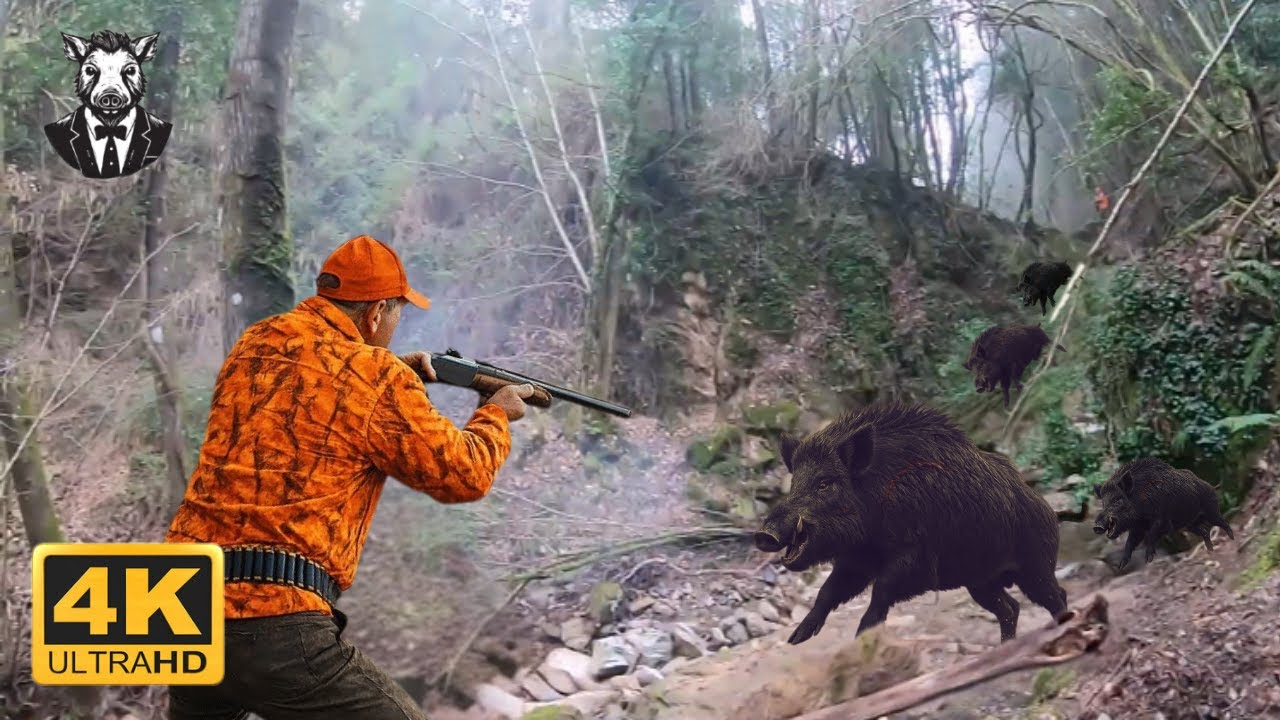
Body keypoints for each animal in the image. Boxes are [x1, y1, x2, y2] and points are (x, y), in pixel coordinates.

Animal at [754, 403, 1068, 645]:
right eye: (794, 482)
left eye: (824, 483)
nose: (763, 534)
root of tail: (1046, 507)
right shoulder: (856, 560)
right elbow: (827, 591)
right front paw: (796, 639)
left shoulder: (918, 559)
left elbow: (882, 587)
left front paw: (862, 636)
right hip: (980, 581)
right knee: (1010, 607)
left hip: (1034, 565)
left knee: (1055, 595)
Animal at [1093, 458, 1234, 570]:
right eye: (1103, 503)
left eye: (1118, 500)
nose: (1097, 526)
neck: (1140, 499)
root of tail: (1211, 486)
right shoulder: (1138, 527)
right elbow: (1130, 542)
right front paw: (1121, 566)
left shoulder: (1162, 521)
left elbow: (1151, 535)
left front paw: (1148, 560)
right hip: (1190, 524)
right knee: (1204, 532)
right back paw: (1211, 551)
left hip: (1211, 511)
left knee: (1224, 523)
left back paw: (1232, 539)